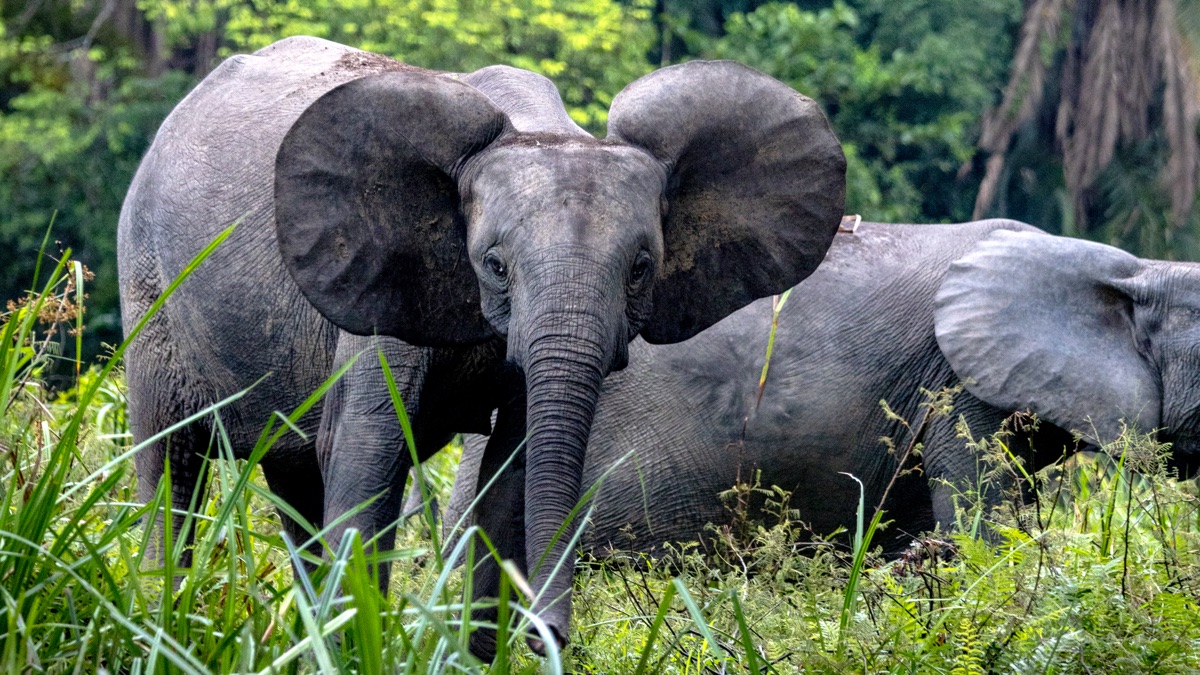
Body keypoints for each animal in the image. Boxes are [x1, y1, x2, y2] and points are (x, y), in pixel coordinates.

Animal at [116, 35, 846, 654]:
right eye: (494, 264)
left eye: (641, 268)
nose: (552, 635)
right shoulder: (378, 274)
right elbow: (368, 448)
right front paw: (360, 649)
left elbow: (510, 472)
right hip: (148, 285)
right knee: (171, 460)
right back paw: (161, 622)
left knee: (293, 479)